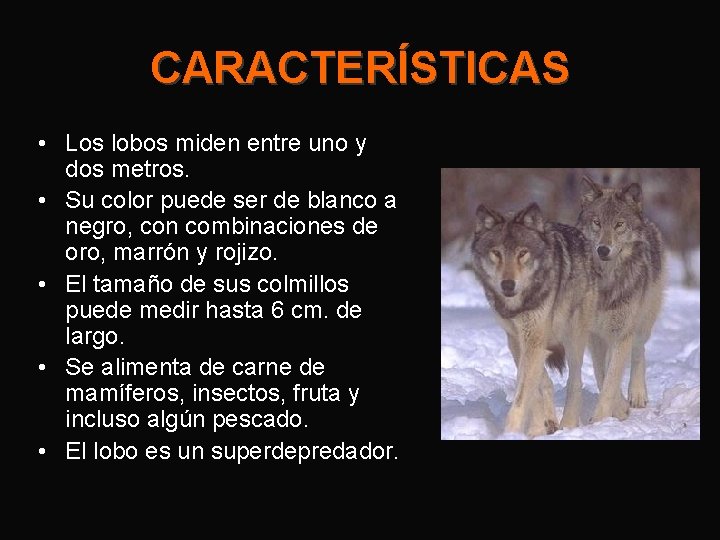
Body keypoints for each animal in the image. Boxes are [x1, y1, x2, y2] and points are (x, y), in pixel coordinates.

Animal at [472, 203, 597, 436]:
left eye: (522, 253)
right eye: (496, 253)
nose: (508, 285)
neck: (518, 305)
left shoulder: (533, 340)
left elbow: (523, 397)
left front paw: (511, 433)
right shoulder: (517, 341)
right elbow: (535, 391)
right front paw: (537, 429)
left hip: (573, 338)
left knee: (575, 382)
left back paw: (568, 425)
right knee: (547, 382)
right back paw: (551, 422)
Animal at [577, 176, 665, 421]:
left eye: (619, 224)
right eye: (597, 222)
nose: (603, 249)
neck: (607, 282)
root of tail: (648, 221)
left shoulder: (621, 333)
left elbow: (611, 378)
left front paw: (599, 420)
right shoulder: (594, 335)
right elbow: (602, 374)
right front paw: (618, 409)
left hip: (642, 323)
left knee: (639, 351)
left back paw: (637, 394)